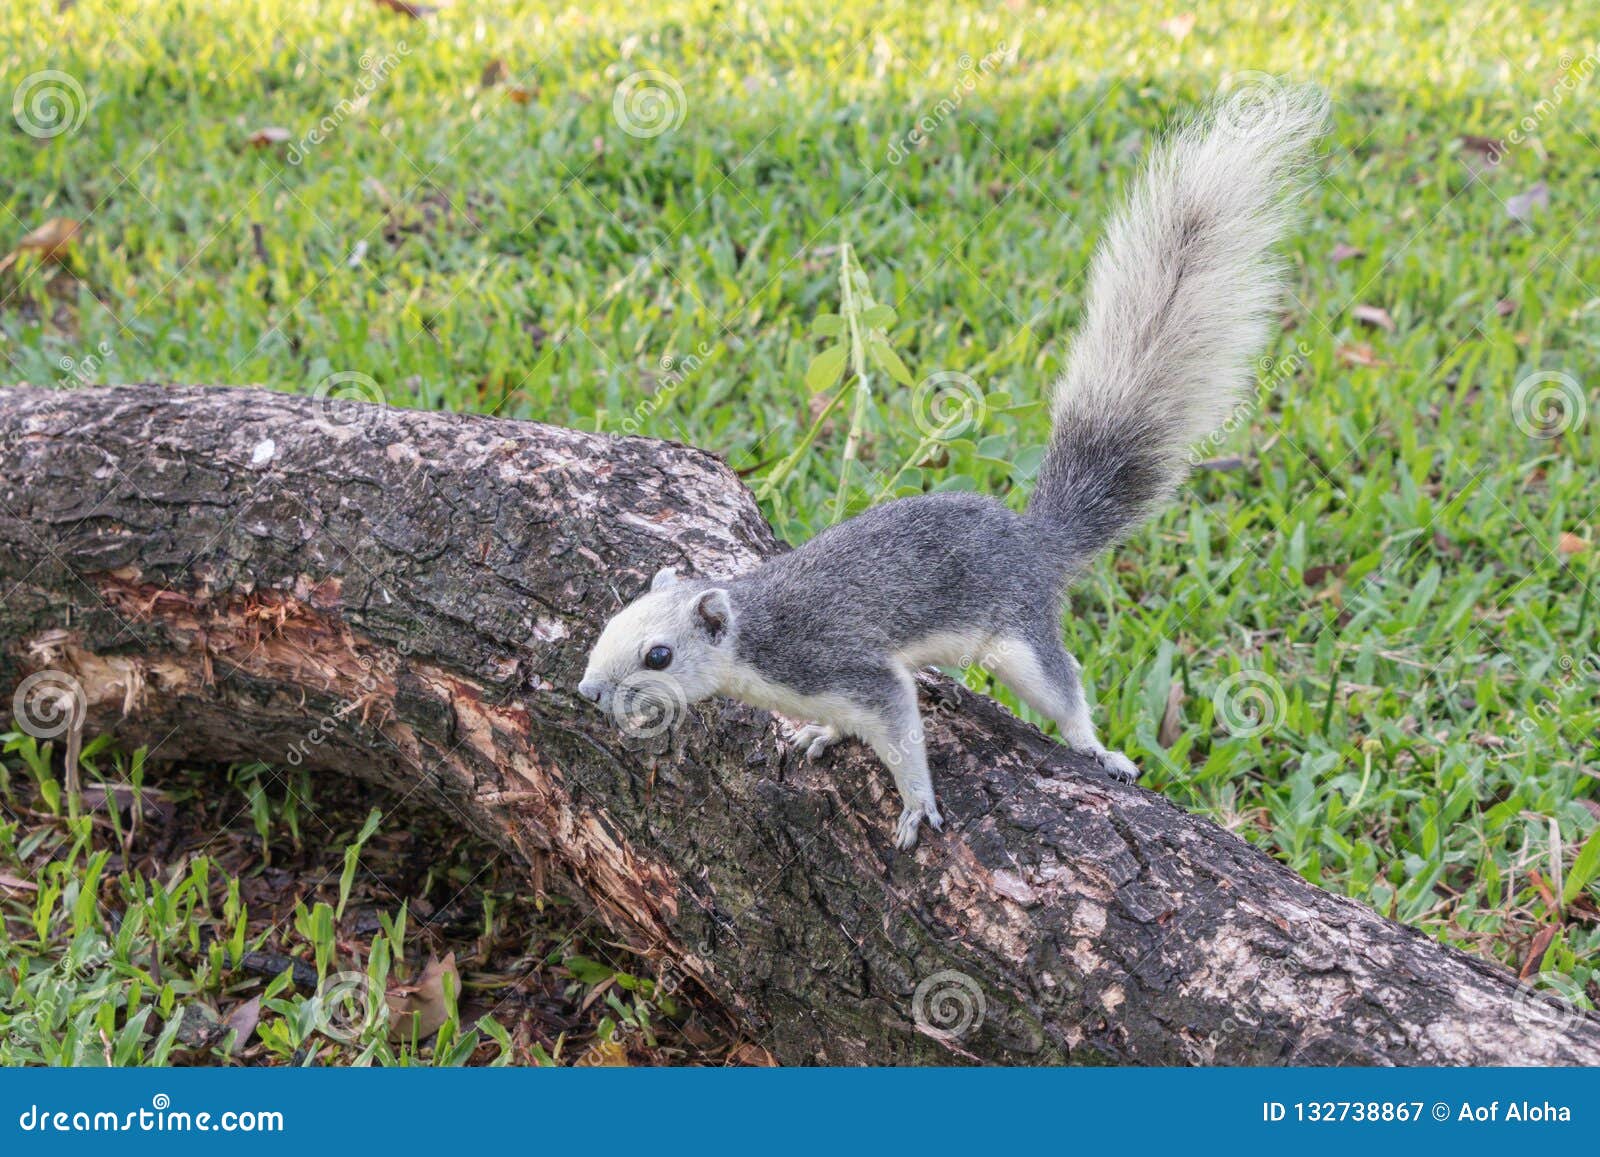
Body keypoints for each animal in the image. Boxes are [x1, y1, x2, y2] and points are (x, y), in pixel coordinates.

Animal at [579, 89, 1329, 849]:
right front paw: (825, 733)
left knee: (1063, 682)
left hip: (1018, 632)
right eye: (610, 624)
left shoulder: (846, 666)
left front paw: (915, 804)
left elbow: (902, 728)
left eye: (659, 656)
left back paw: (1095, 746)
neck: (753, 640)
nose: (588, 692)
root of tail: (1035, 540)